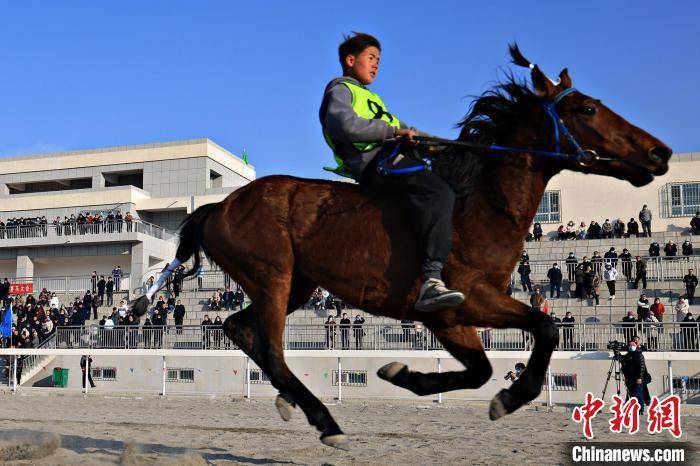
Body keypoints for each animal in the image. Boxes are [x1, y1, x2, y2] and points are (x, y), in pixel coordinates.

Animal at [131, 45, 671, 449]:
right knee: (270, 347)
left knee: (239, 330)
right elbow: (543, 329)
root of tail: (219, 205)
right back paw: (325, 421)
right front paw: (508, 397)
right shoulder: (462, 302)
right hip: (273, 276)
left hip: (294, 286)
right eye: (587, 108)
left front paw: (405, 374)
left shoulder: (457, 316)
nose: (660, 151)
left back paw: (293, 401)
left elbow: (482, 368)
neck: (479, 203)